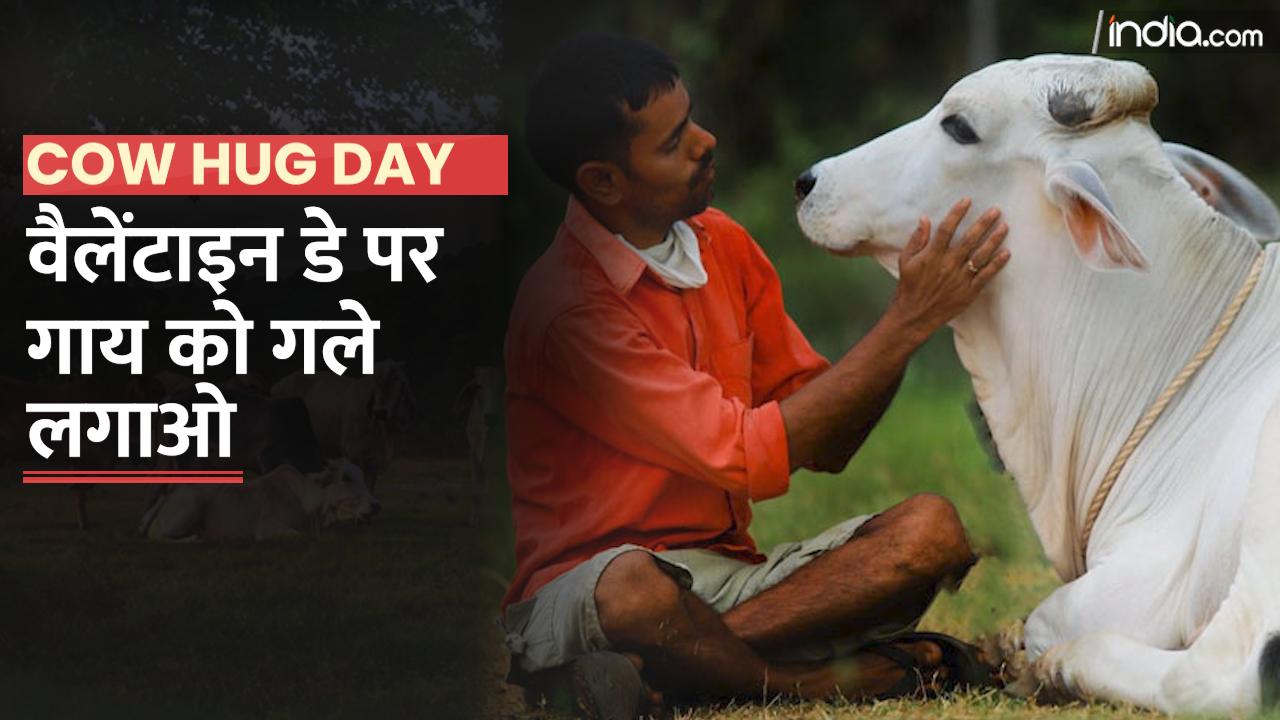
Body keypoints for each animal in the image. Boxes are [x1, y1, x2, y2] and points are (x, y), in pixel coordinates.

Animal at [795, 54, 1280, 714]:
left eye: (960, 127)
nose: (809, 182)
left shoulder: (1150, 583)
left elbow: (1044, 618)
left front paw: (1024, 654)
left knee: (1213, 678)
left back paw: (1065, 667)